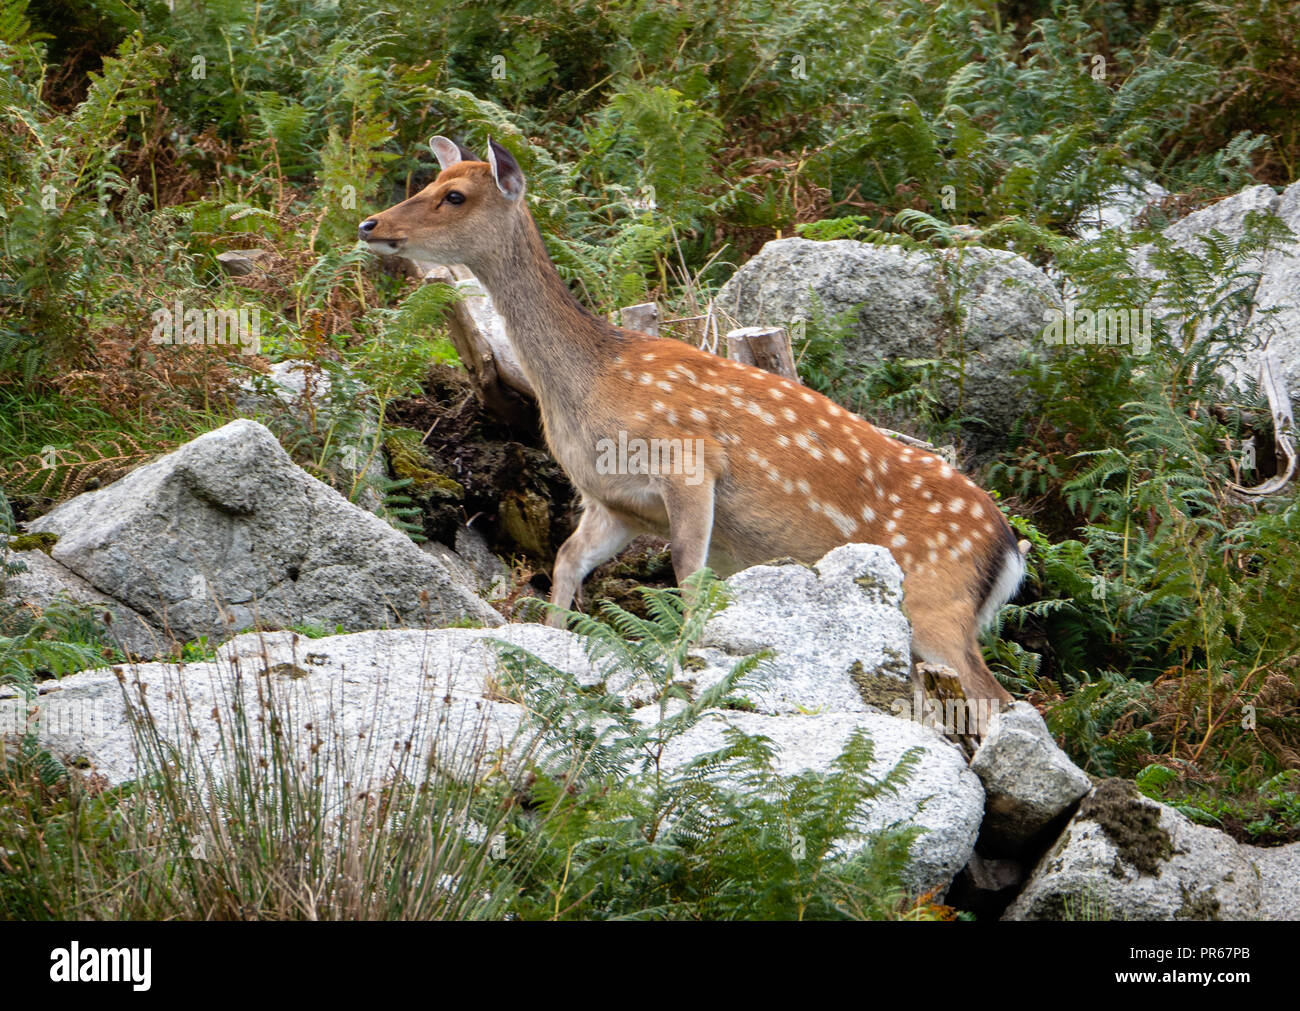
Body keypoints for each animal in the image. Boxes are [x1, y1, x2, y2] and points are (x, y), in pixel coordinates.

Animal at [359, 135, 1027, 707]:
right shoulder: (614, 503)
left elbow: (688, 574)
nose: (370, 224)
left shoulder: (686, 461)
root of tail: (1009, 548)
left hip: (936, 600)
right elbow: (568, 560)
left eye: (454, 195)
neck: (592, 388)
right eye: (433, 179)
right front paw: (553, 635)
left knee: (997, 697)